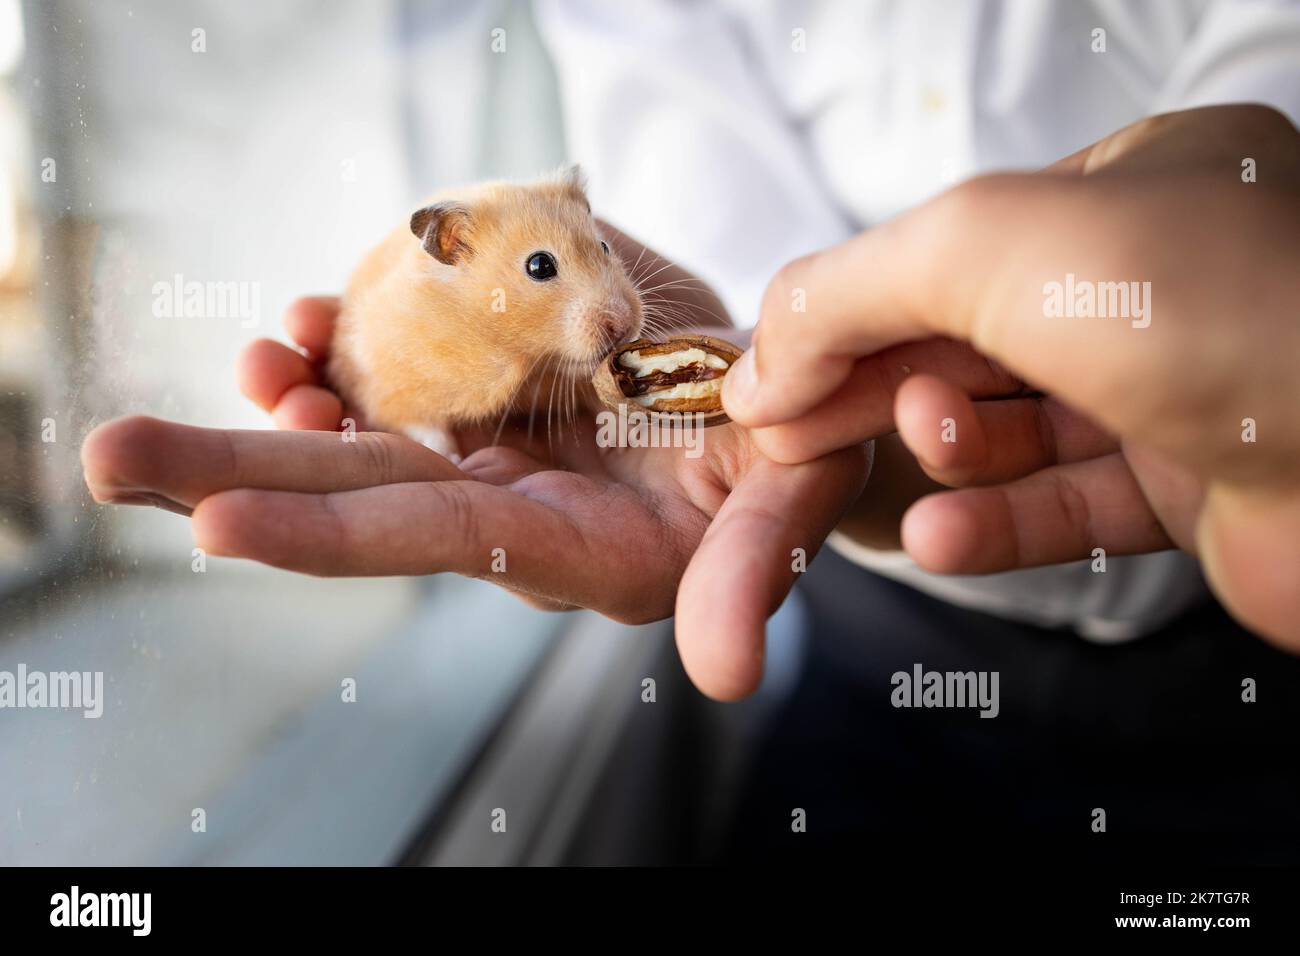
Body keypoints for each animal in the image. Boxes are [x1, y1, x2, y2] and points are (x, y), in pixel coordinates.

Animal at [329, 167, 644, 455]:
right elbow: (420, 423)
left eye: (604, 246)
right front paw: (452, 456)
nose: (624, 324)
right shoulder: (392, 384)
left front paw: (621, 439)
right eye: (540, 265)